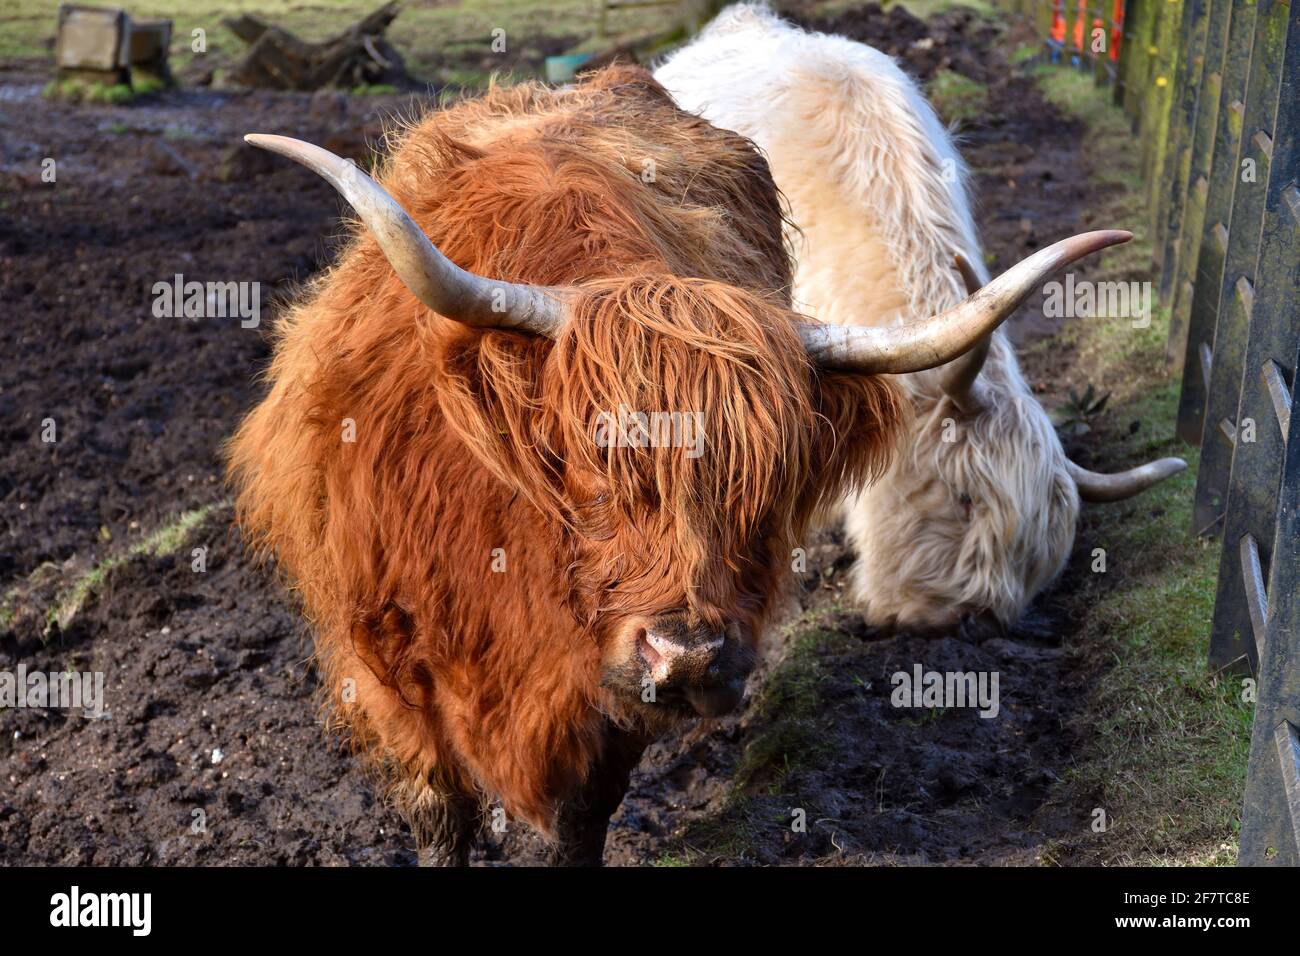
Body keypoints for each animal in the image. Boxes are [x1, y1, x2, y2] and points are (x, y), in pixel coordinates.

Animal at [228, 65, 1126, 864]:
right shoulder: (387, 651)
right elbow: (439, 813)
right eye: (590, 471)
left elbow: (582, 816)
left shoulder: (608, 696)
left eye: (771, 487)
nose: (689, 656)